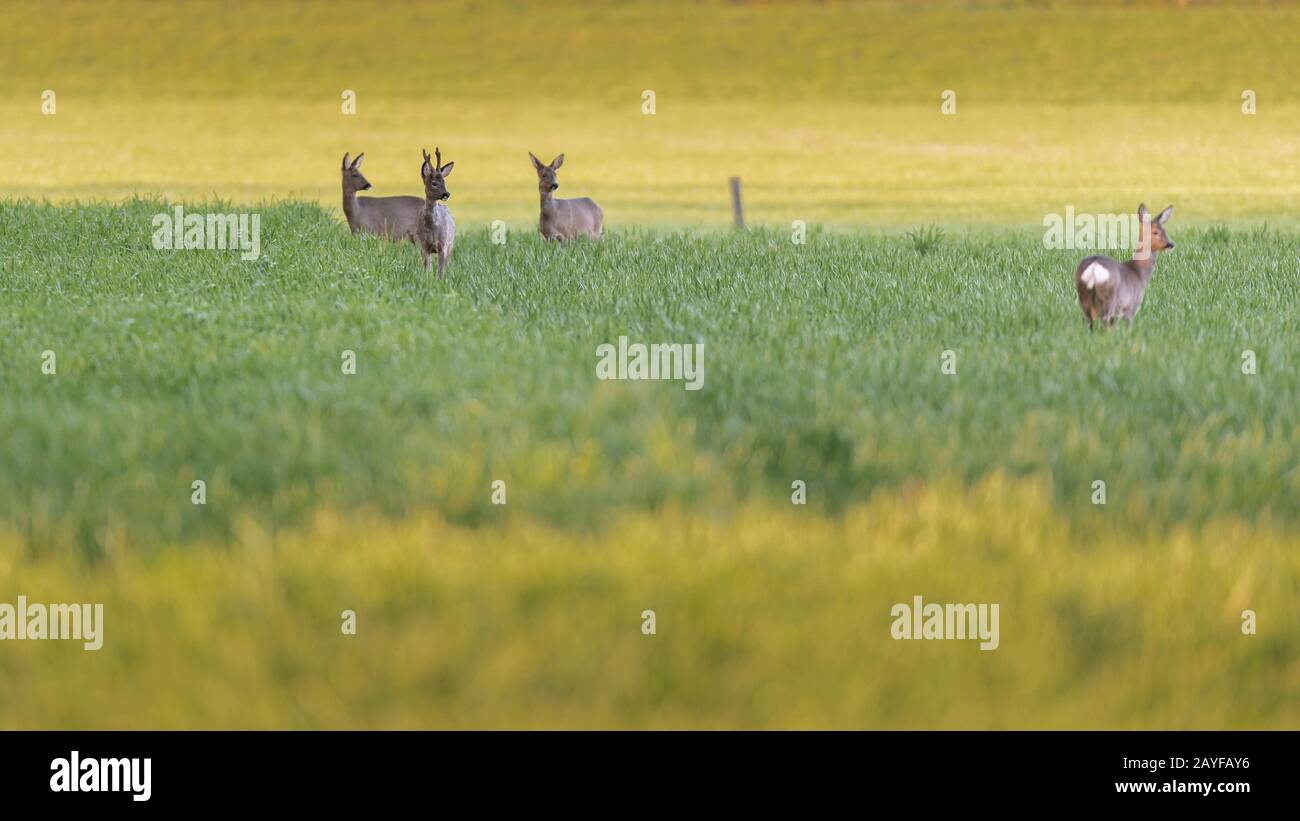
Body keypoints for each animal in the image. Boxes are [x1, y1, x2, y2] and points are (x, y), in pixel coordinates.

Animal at [416, 147, 456, 278]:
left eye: (444, 181)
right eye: (434, 183)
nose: (446, 194)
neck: (432, 227)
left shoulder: (443, 246)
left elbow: (440, 272)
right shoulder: (424, 246)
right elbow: (427, 270)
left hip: (451, 244)